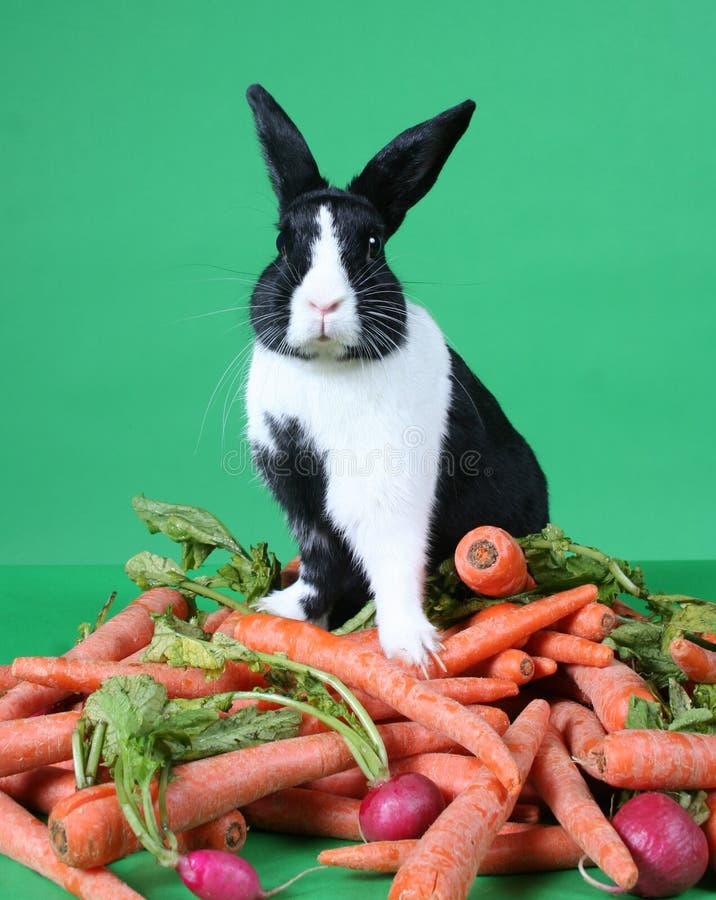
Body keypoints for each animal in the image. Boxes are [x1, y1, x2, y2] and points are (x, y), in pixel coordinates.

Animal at [243, 84, 549, 667]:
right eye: (281, 243)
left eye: (372, 246)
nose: (323, 304)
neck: (326, 369)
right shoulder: (302, 498)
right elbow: (319, 564)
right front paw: (285, 612)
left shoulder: (387, 491)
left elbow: (394, 561)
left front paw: (411, 648)